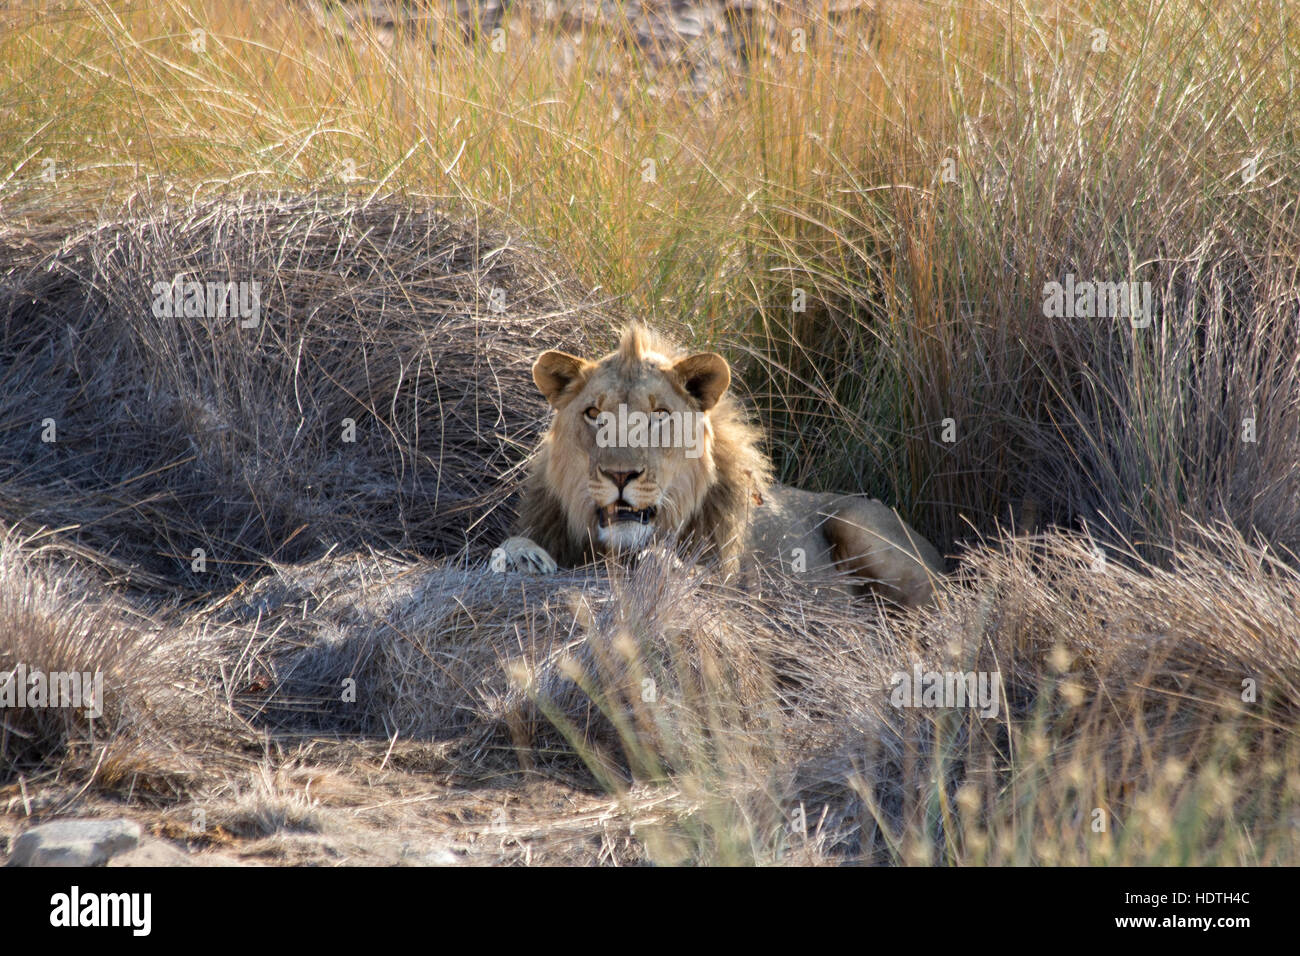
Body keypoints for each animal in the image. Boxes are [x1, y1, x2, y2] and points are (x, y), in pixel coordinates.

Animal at [495, 325, 943, 606]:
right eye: (593, 413)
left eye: (659, 415)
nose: (620, 475)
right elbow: (510, 544)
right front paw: (522, 557)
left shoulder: (735, 583)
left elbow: (680, 567)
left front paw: (661, 564)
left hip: (861, 525)